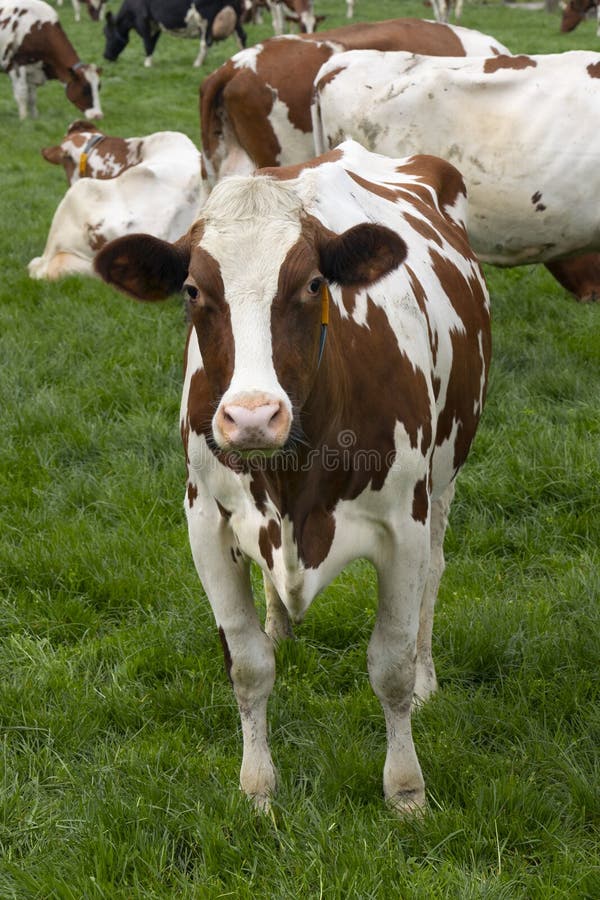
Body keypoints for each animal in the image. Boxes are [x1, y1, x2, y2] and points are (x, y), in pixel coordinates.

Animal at [93, 139, 491, 812]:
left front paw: (405, 790)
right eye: (193, 290)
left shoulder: (402, 526)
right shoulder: (204, 522)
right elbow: (248, 664)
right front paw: (257, 788)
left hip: (444, 478)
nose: (253, 416)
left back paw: (428, 675)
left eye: (312, 284)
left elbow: (389, 665)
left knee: (434, 581)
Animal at [103, 0, 246, 68]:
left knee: (205, 43)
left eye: (106, 34)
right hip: (235, 17)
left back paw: (197, 64)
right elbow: (152, 44)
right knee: (241, 37)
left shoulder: (143, 22)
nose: (105, 56)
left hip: (205, 18)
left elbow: (147, 44)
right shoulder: (156, 24)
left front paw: (147, 65)